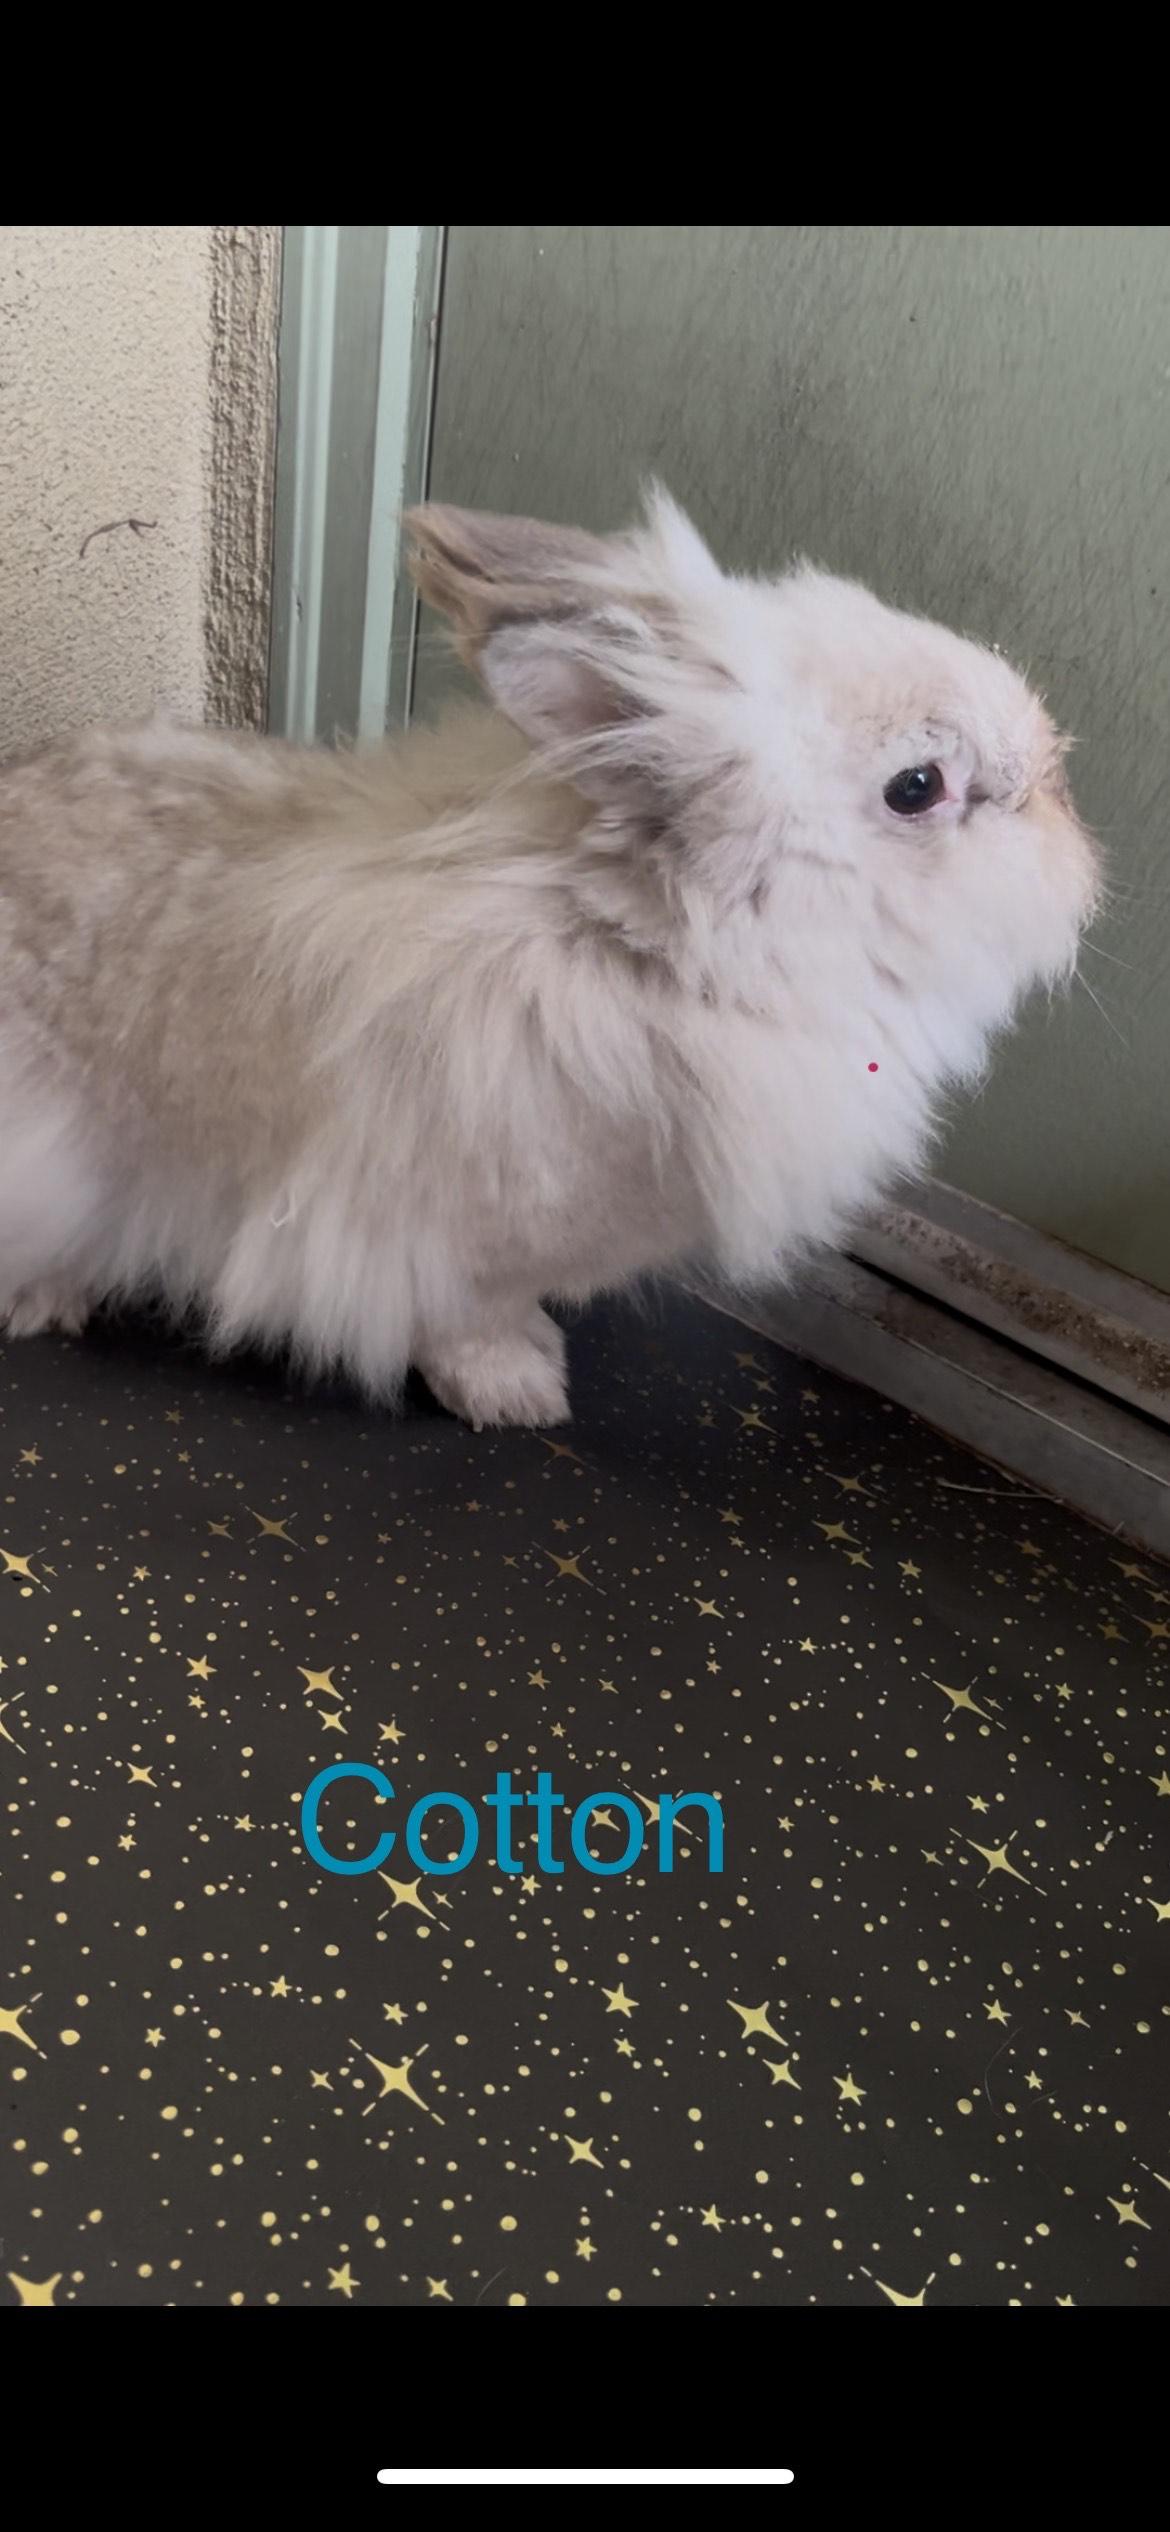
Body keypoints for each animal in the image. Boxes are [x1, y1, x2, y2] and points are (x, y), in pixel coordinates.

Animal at [0, 490, 1098, 1427]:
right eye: (918, 787)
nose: (1053, 775)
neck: (637, 951)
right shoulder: (443, 1229)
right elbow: (468, 1319)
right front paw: (521, 1394)